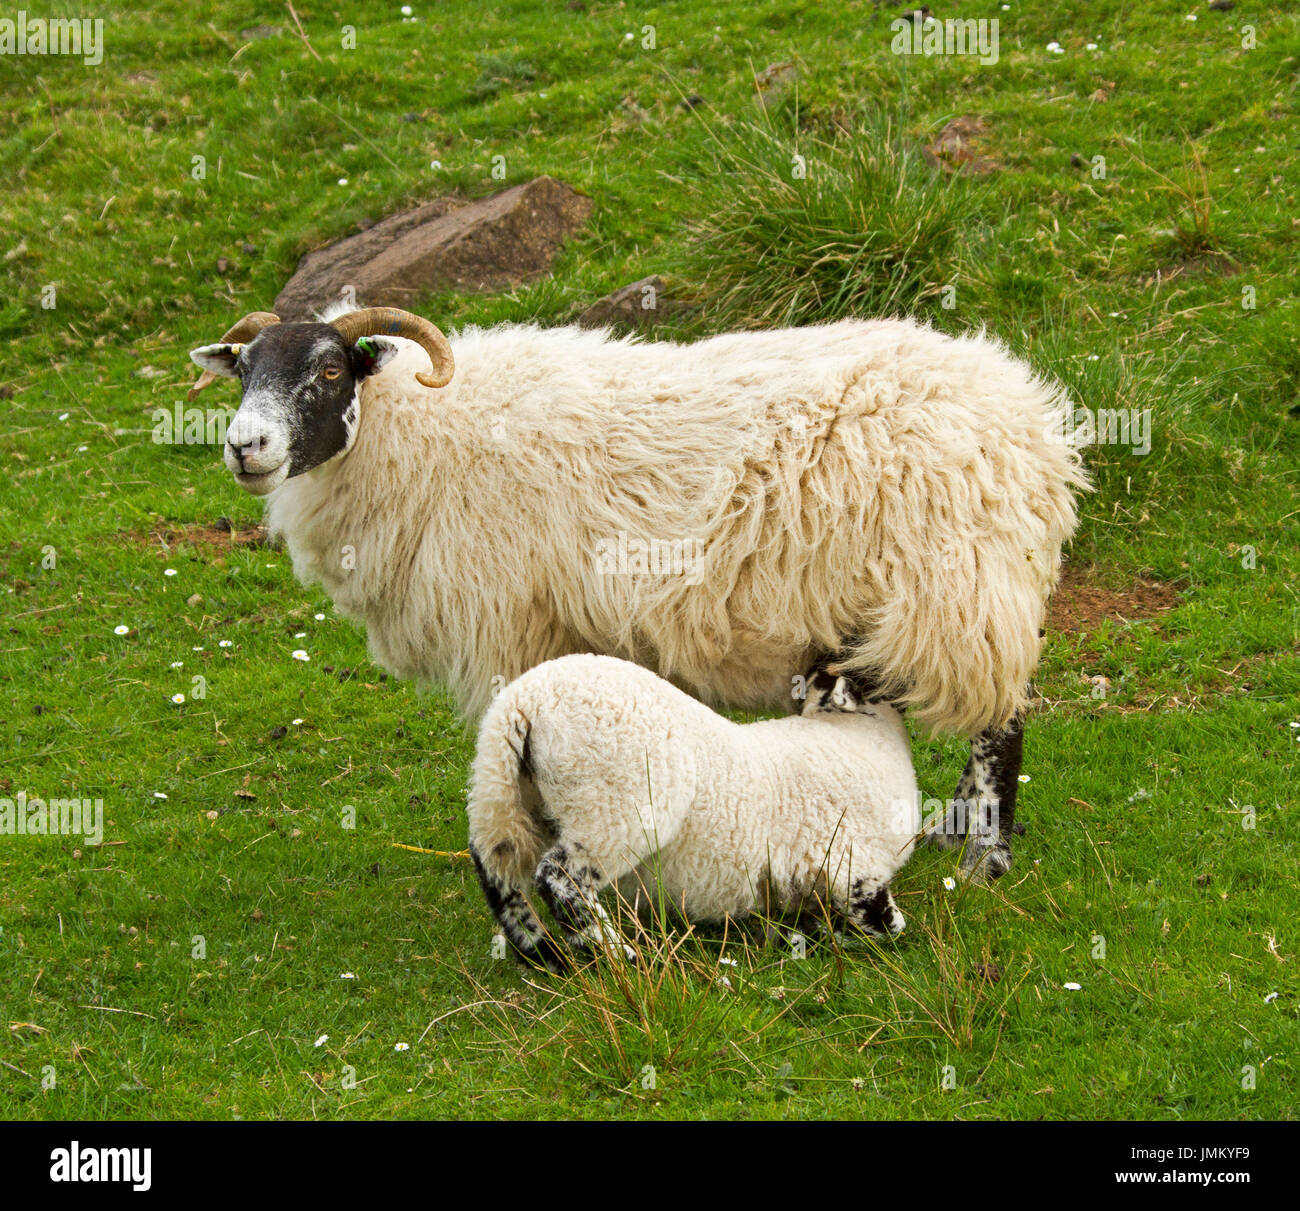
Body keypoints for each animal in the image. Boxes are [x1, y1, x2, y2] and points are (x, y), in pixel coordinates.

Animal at [189, 305, 1088, 880]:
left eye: (328, 368)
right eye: (244, 372)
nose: (244, 446)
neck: (421, 431)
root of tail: (1035, 421)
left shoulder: (510, 625)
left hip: (960, 586)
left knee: (1000, 722)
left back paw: (985, 856)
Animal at [467, 654, 920, 971]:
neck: (860, 738)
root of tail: (521, 704)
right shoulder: (848, 864)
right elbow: (889, 924)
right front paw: (827, 934)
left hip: (502, 792)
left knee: (496, 870)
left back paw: (543, 954)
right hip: (613, 804)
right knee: (560, 878)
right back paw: (619, 957)